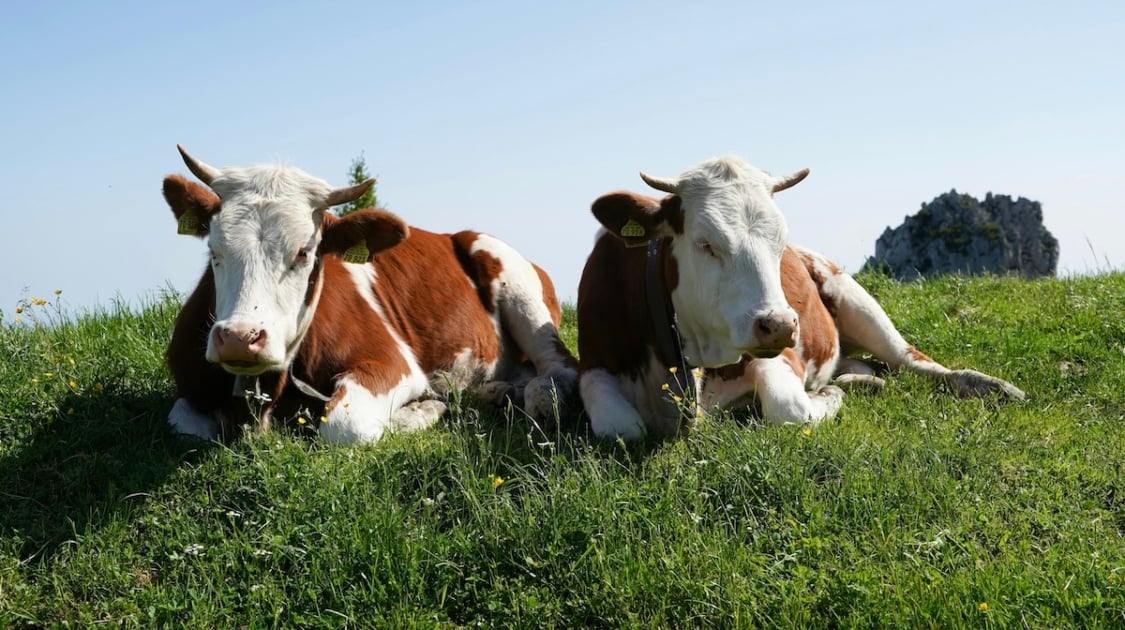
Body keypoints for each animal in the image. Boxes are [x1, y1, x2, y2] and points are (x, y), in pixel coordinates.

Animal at [163, 146, 577, 444]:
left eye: (305, 252)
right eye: (214, 250)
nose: (238, 338)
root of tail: (459, 233)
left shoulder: (392, 361)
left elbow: (344, 427)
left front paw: (424, 409)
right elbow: (182, 423)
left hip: (522, 295)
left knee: (562, 368)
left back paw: (542, 399)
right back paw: (498, 391)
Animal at [576, 155, 1025, 440]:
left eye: (780, 243)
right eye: (706, 244)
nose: (778, 324)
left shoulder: (782, 357)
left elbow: (788, 409)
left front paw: (828, 396)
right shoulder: (593, 364)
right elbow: (621, 428)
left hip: (855, 299)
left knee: (916, 362)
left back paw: (993, 387)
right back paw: (863, 379)